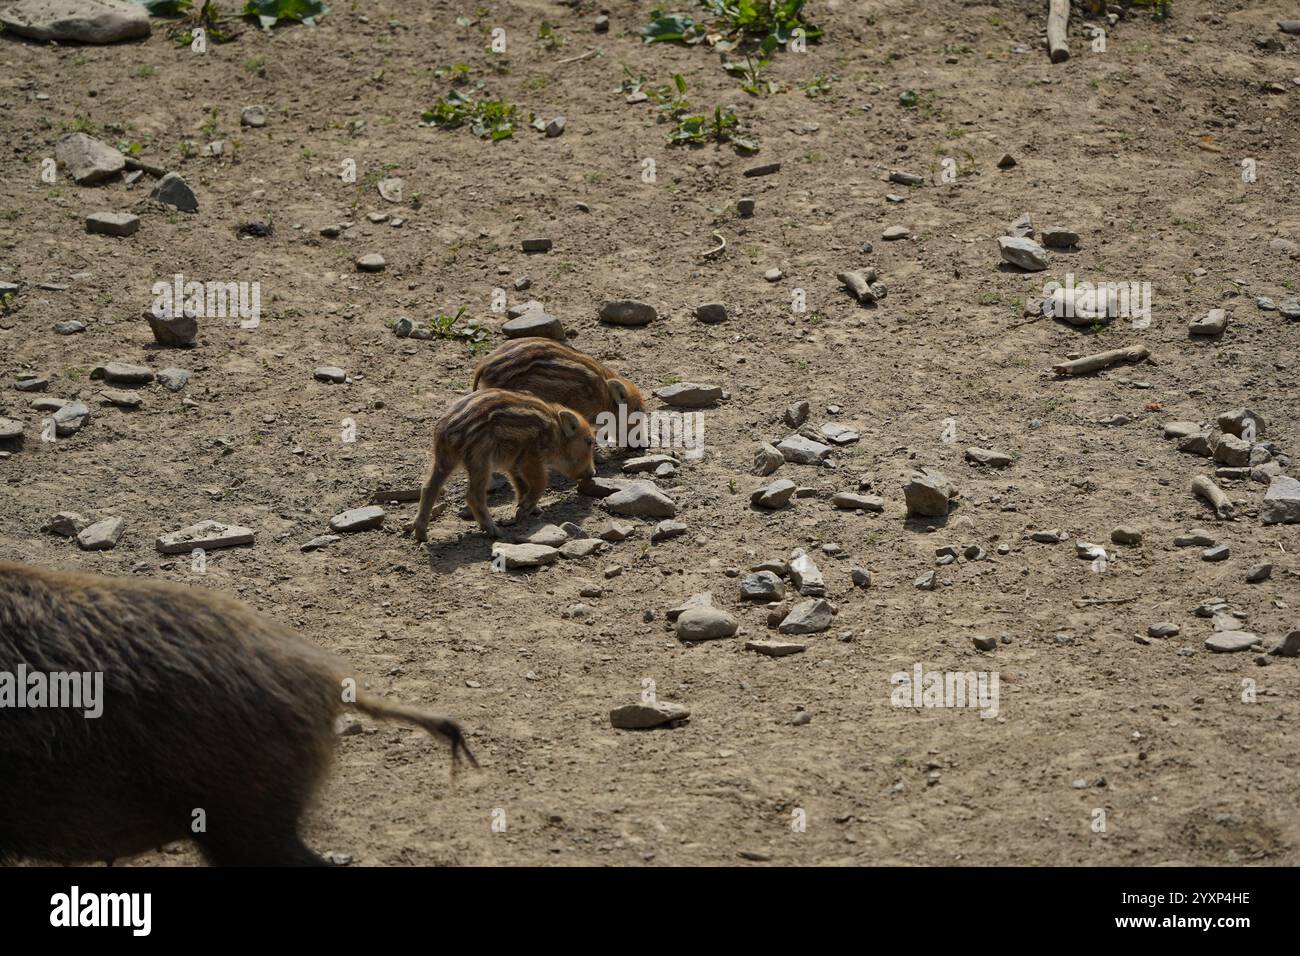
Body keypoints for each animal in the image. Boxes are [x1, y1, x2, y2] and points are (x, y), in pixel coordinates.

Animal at [410, 388, 597, 542]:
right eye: (589, 441)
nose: (592, 473)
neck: (554, 434)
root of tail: (446, 430)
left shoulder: (512, 463)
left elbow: (520, 485)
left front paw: (532, 510)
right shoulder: (530, 458)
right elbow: (540, 483)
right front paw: (523, 512)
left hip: (445, 459)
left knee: (429, 487)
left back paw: (421, 535)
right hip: (480, 459)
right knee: (473, 495)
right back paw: (495, 531)